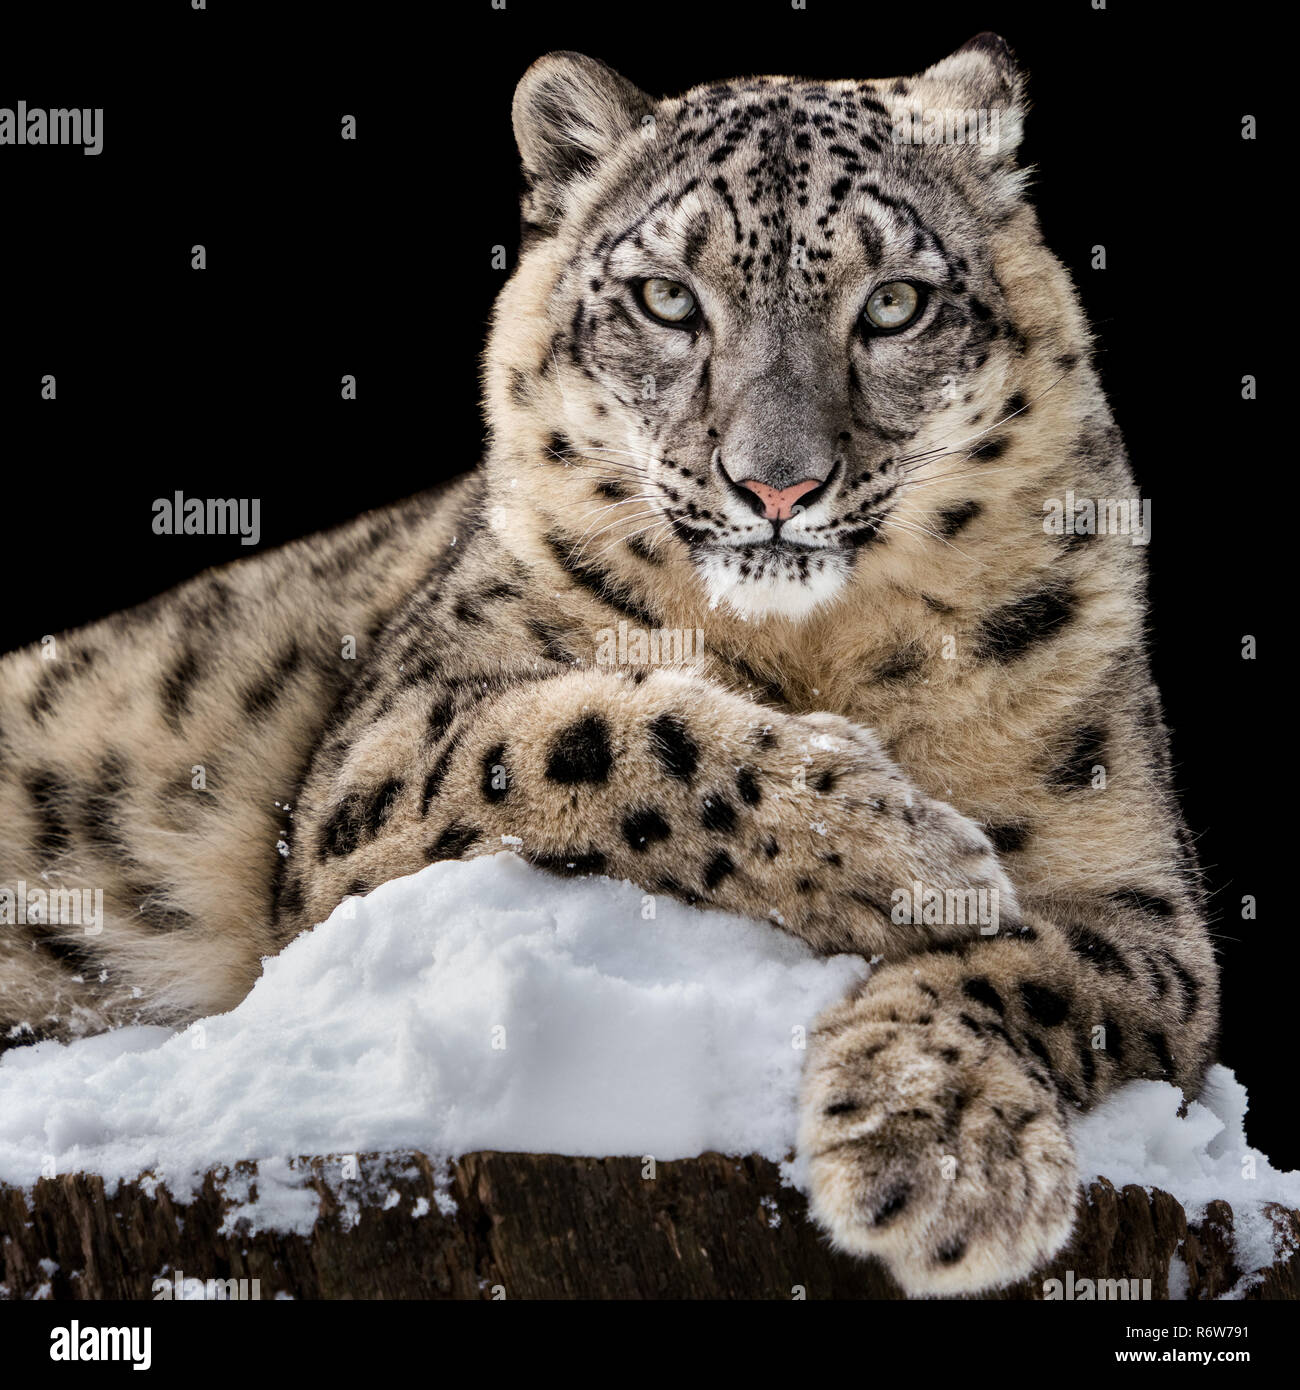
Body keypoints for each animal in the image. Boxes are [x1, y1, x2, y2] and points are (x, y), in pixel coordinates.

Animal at [0, 35, 1216, 1298]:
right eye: (667, 298)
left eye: (894, 303)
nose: (776, 482)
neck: (811, 653)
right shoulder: (372, 766)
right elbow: (579, 737)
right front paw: (905, 847)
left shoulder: (1140, 888)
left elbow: (1042, 967)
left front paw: (940, 1153)